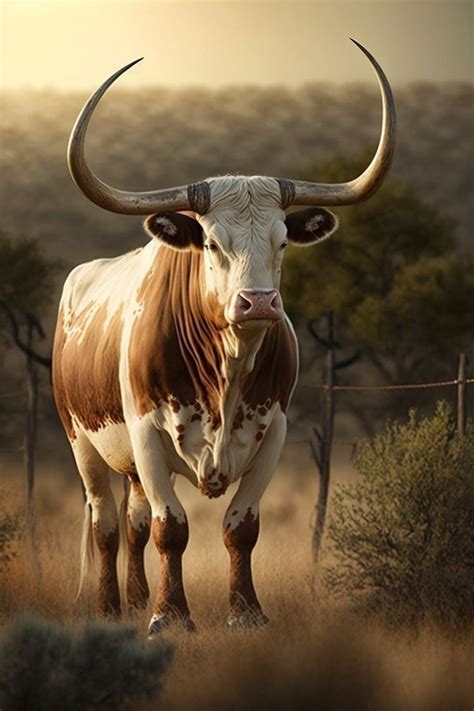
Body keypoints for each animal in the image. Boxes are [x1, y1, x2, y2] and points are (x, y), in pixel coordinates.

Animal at [52, 39, 395, 637]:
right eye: (212, 242)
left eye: (284, 241)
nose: (258, 303)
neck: (227, 369)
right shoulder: (144, 432)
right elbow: (171, 527)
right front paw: (170, 617)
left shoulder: (274, 432)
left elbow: (241, 526)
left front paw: (246, 612)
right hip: (84, 445)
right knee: (108, 525)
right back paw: (112, 609)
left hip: (130, 465)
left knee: (134, 521)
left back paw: (136, 598)